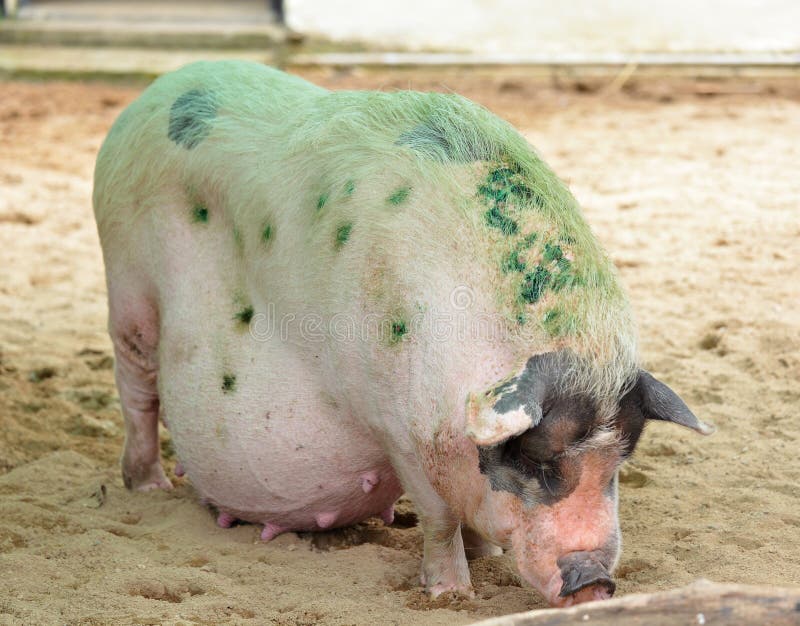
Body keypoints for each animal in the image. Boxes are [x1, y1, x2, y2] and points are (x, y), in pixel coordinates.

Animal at [93, 60, 713, 607]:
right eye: (535, 461)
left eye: (618, 464)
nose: (597, 581)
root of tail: (152, 92)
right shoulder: (393, 422)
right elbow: (438, 517)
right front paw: (452, 594)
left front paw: (487, 556)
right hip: (128, 291)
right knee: (137, 391)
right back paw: (149, 488)